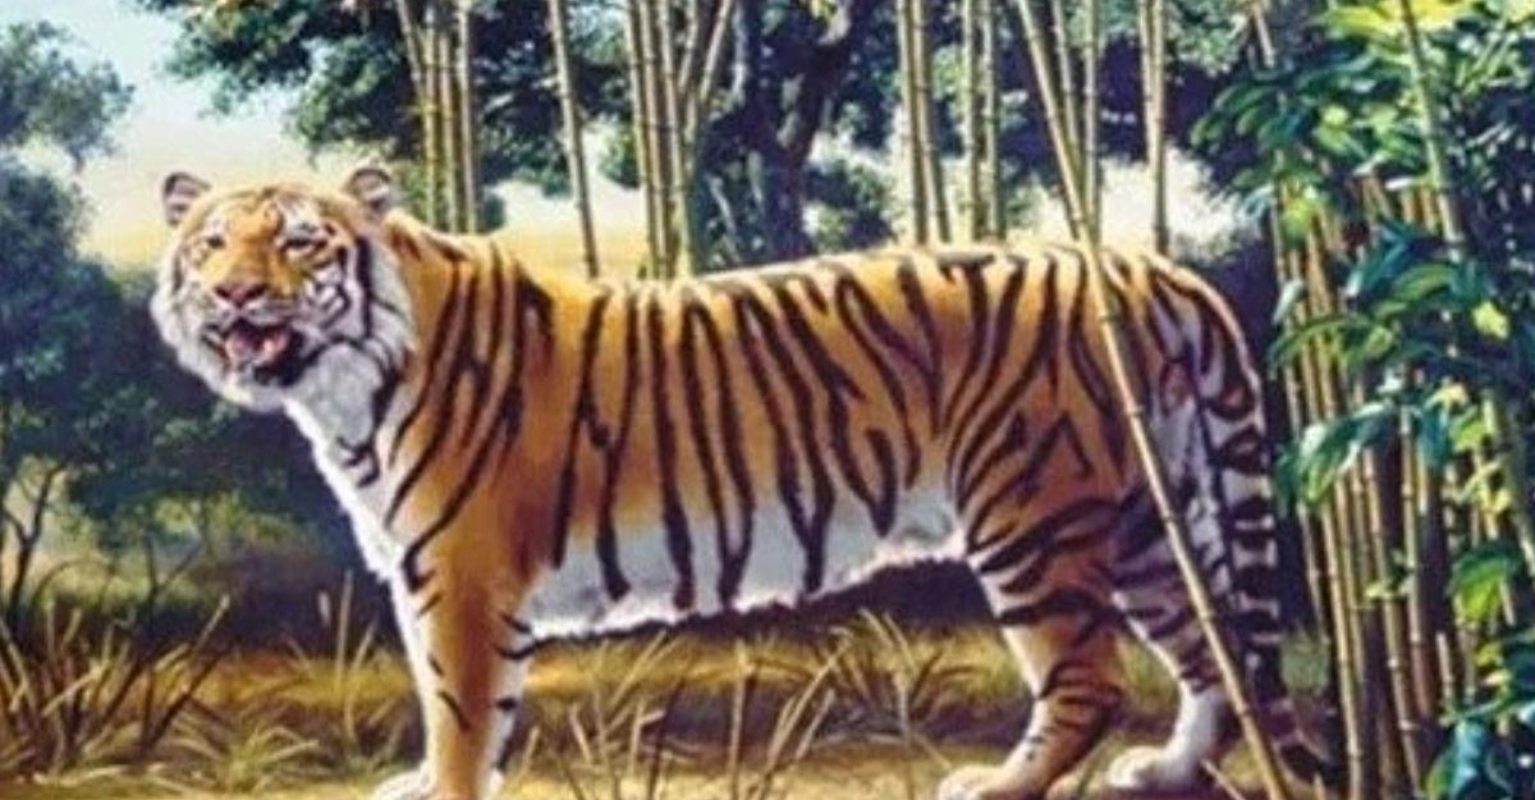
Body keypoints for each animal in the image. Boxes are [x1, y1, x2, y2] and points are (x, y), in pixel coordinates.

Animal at [151, 165, 1326, 800]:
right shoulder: (436, 574)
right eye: (211, 243)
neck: (339, 389)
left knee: (1088, 681)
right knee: (1215, 651)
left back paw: (999, 783)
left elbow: (457, 706)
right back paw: (1164, 770)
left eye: (301, 244)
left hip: (1030, 518)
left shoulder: (460, 577)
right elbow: (476, 706)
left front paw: (437, 786)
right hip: (1147, 521)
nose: (235, 295)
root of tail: (1151, 269)